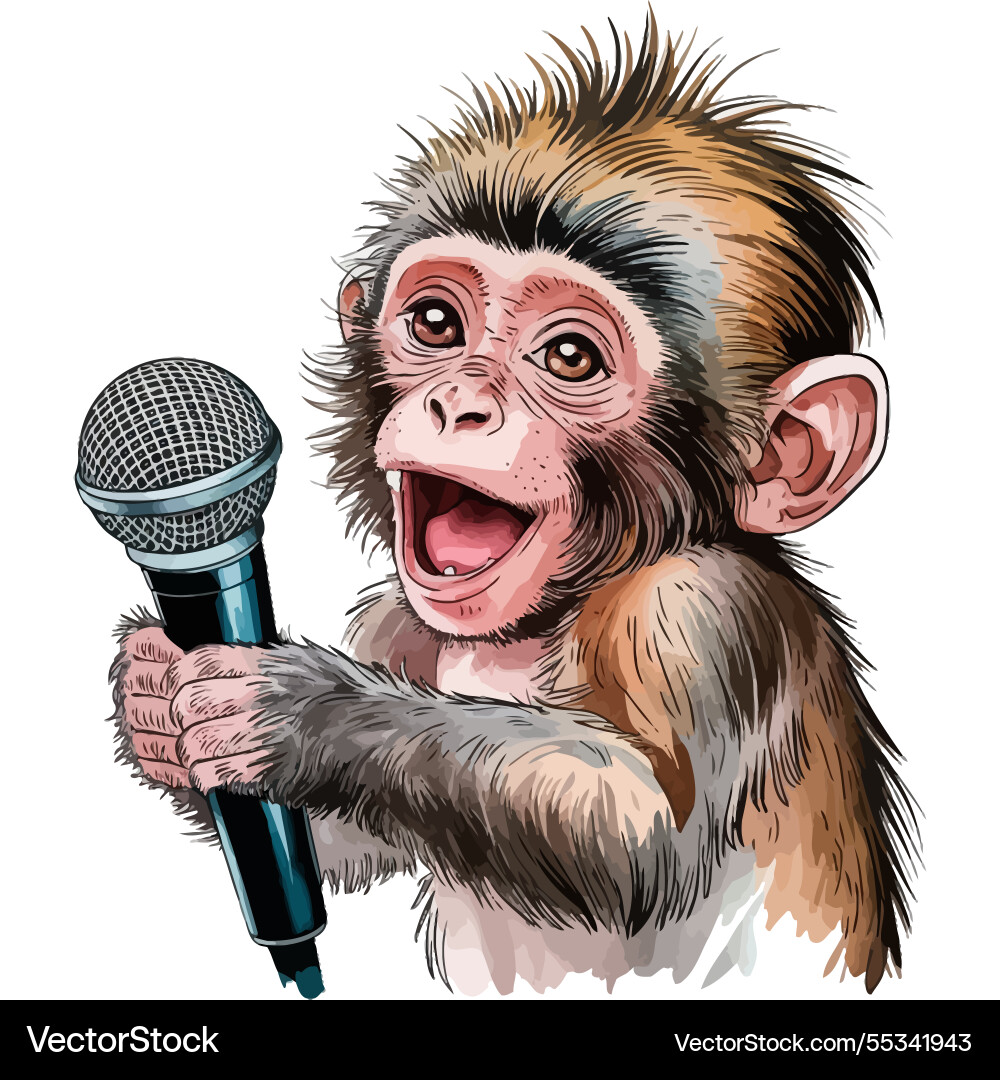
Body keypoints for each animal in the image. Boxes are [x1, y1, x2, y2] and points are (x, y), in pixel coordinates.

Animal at [108, 16, 919, 995]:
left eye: (570, 357)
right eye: (435, 325)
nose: (461, 404)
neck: (540, 624)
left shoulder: (698, 616)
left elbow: (640, 836)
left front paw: (300, 713)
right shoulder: (397, 624)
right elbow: (339, 842)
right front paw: (155, 695)